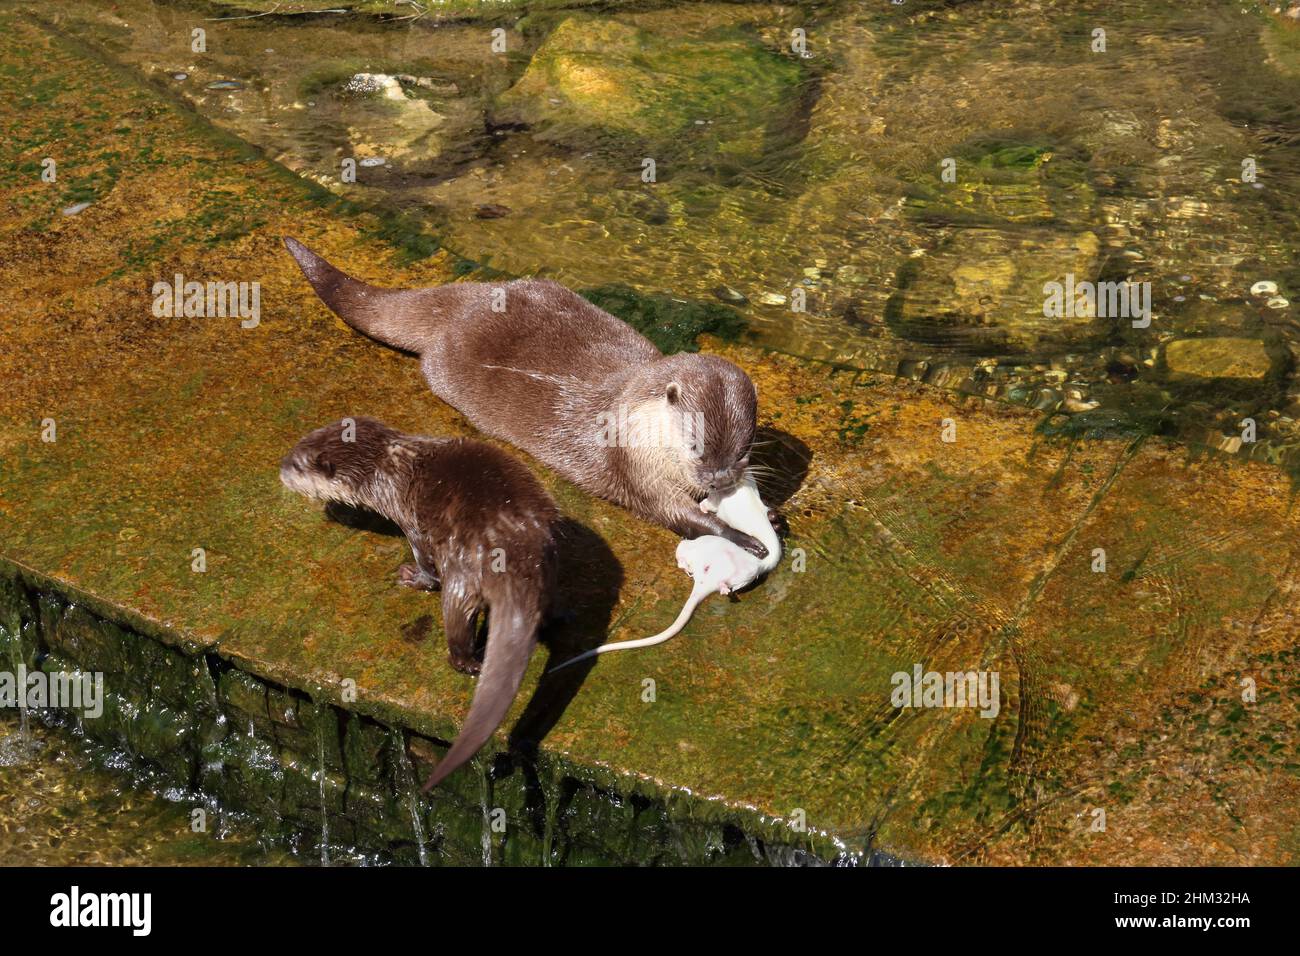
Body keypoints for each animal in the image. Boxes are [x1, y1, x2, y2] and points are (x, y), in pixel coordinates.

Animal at [279, 416, 559, 790]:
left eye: (297, 465)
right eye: (294, 449)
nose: (281, 468)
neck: (387, 469)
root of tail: (514, 555)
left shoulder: (410, 520)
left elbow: (426, 563)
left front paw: (413, 577)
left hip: (462, 572)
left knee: (456, 610)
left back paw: (469, 660)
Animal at [282, 237, 766, 558]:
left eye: (743, 452)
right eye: (695, 447)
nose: (722, 481)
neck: (633, 417)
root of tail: (468, 302)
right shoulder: (636, 468)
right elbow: (675, 513)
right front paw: (742, 536)